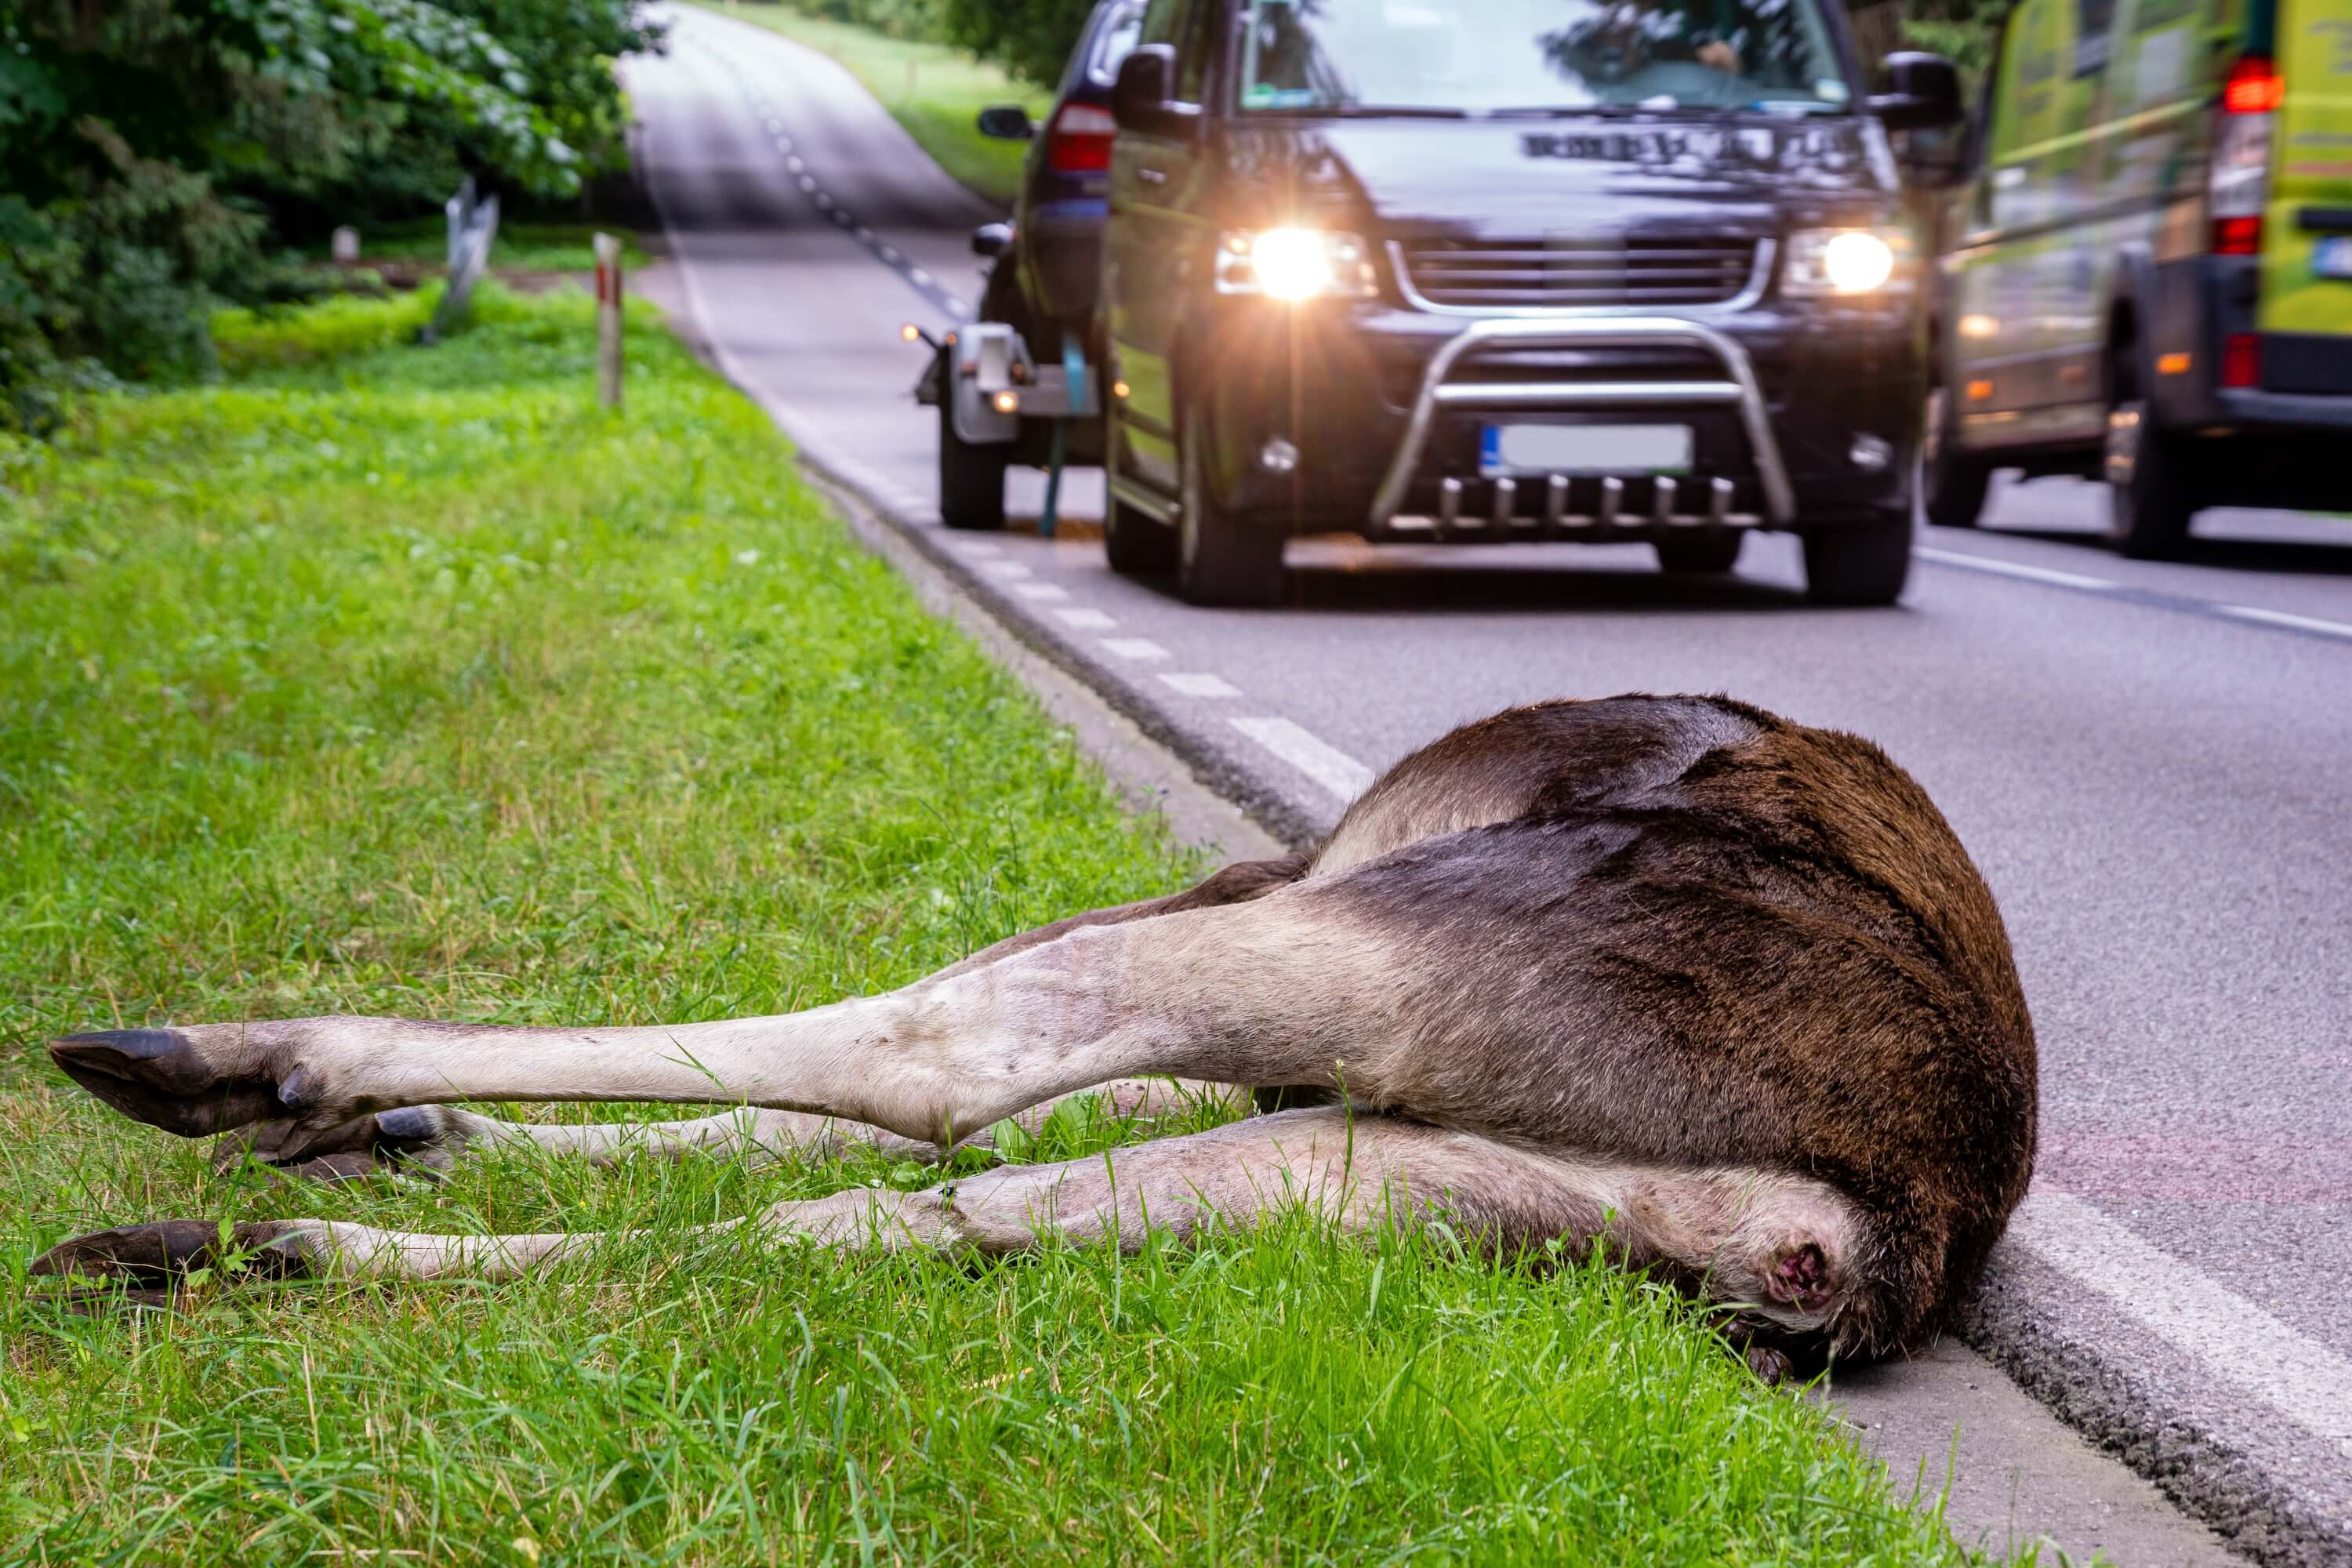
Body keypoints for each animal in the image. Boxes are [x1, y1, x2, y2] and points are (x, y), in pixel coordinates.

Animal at [32, 694, 2038, 1381]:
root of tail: (1888, 1231)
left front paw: (362, 1107)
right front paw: (415, 1148)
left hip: (1408, 937)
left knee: (938, 1057)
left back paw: (237, 1071)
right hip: (1431, 1176)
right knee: (937, 1206)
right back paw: (256, 1242)